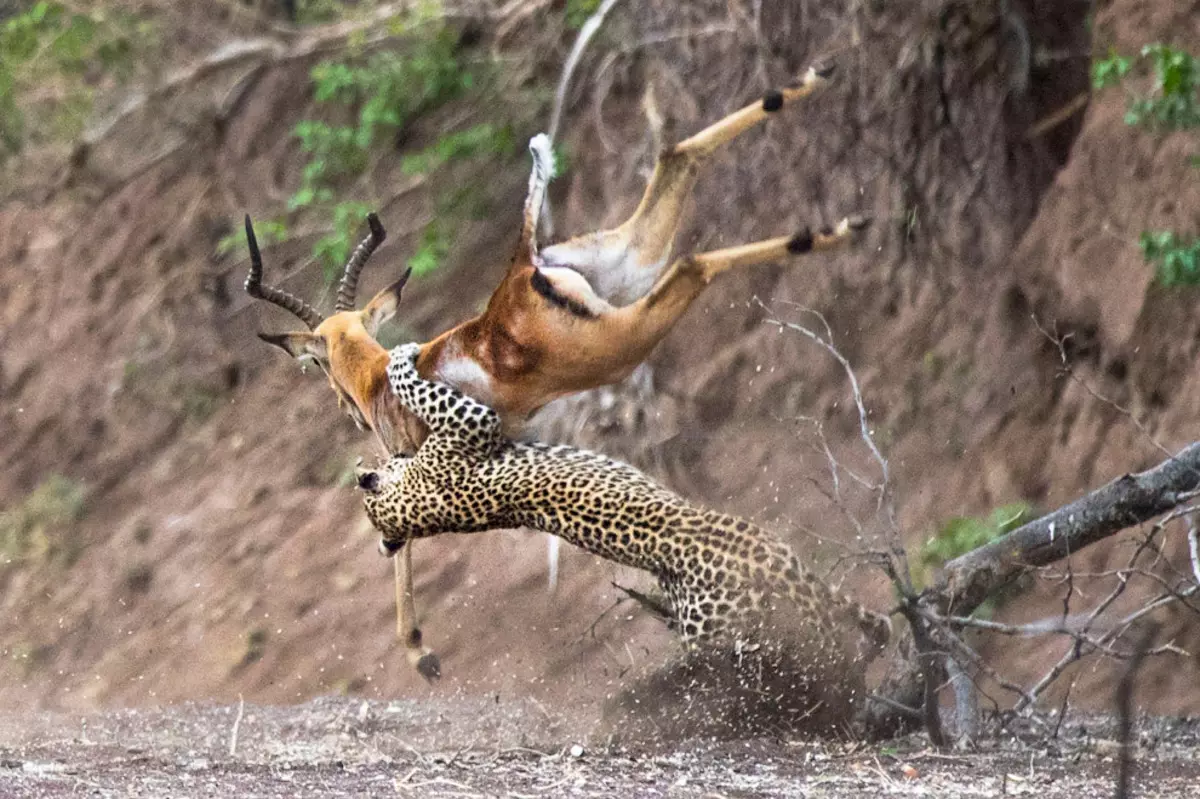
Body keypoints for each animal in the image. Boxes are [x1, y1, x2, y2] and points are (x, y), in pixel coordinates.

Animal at [355, 343, 892, 734]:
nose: (372, 462)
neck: (417, 511)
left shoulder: (468, 428)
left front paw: (400, 354)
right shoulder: (468, 424)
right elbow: (417, 386)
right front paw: (402, 354)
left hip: (790, 575)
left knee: (874, 625)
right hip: (736, 627)